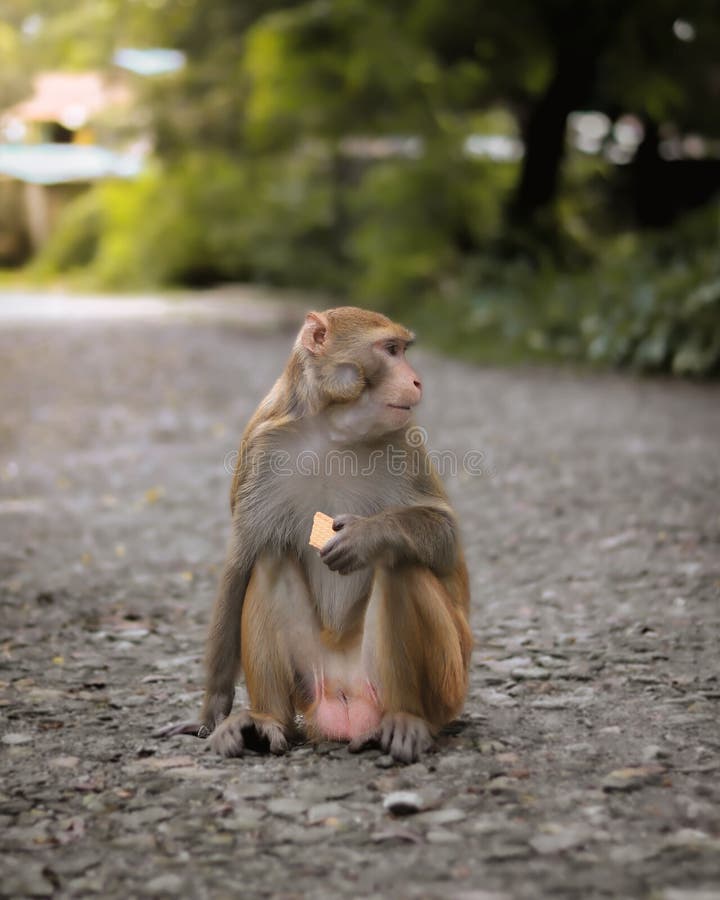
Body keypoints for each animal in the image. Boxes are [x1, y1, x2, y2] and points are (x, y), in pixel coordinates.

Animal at [158, 307, 472, 763]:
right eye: (390, 350)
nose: (416, 381)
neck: (331, 427)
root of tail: (346, 705)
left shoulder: (406, 439)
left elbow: (445, 538)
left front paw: (368, 535)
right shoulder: (260, 446)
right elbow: (241, 564)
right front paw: (209, 714)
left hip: (447, 683)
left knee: (401, 563)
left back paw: (406, 719)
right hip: (311, 683)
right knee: (270, 558)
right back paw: (265, 722)